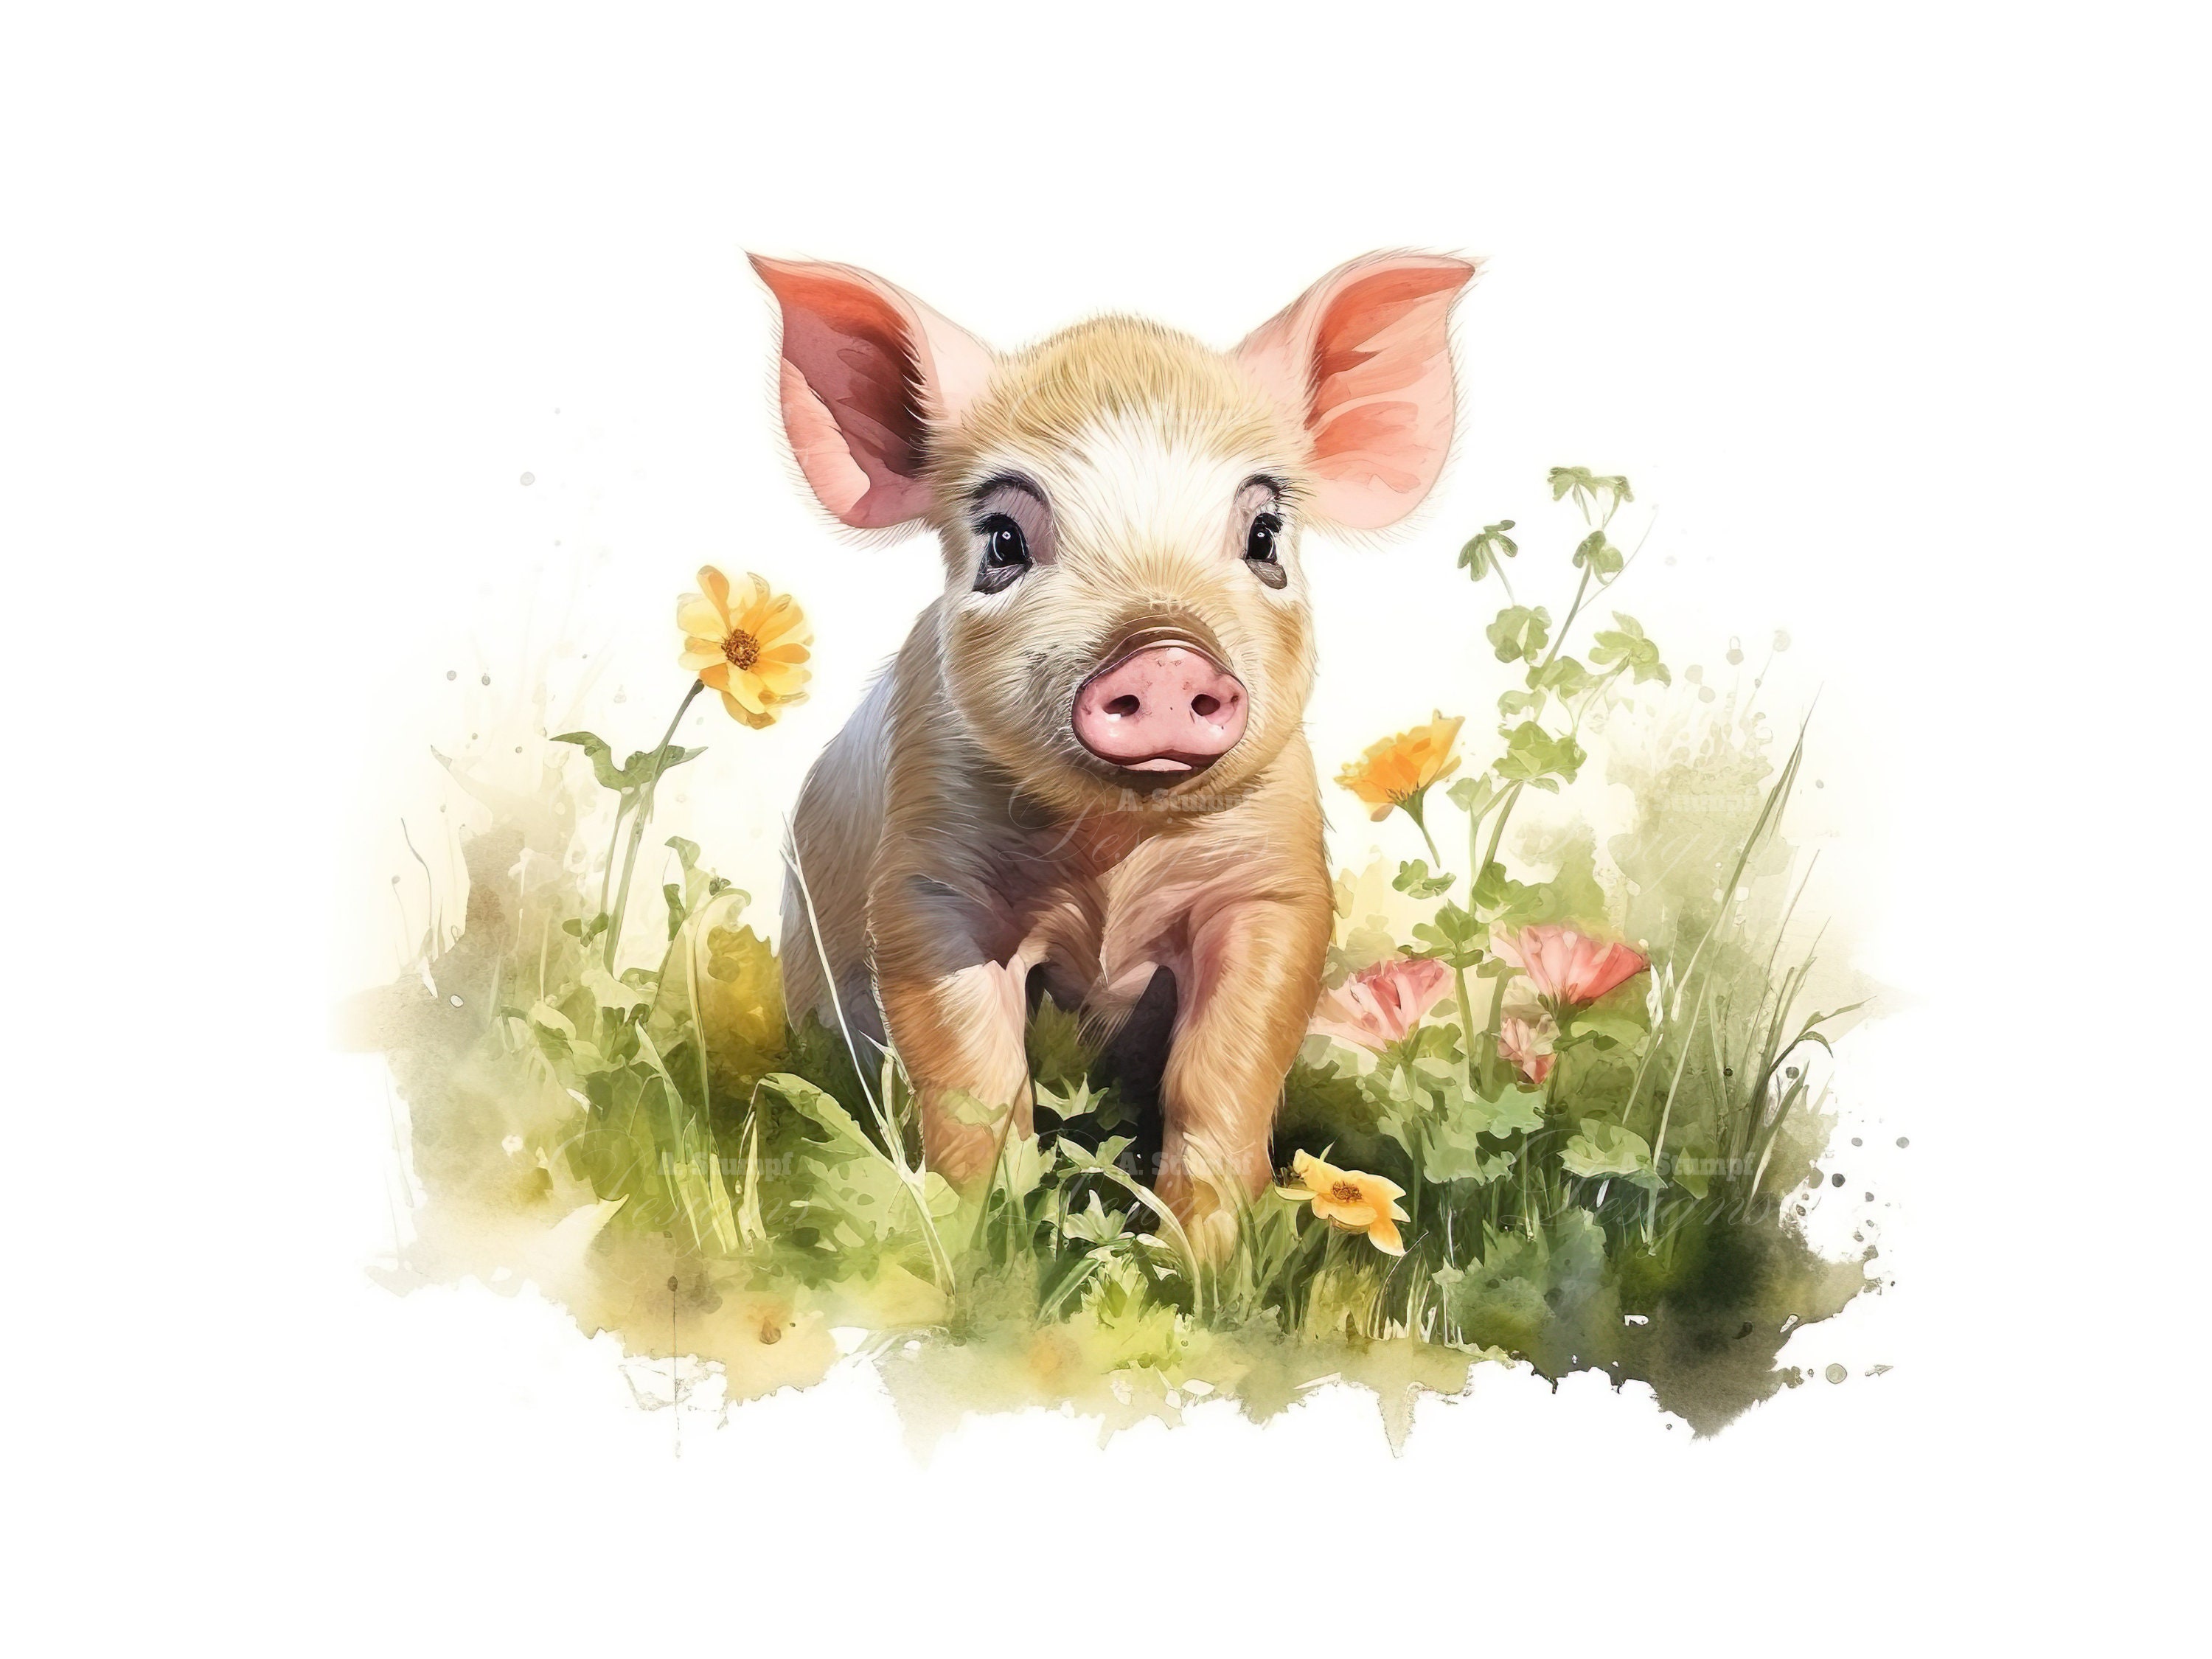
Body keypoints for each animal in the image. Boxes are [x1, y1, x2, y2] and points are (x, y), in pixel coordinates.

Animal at [754, 250, 1477, 1254]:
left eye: (1264, 535)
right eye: (1003, 540)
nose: (1165, 653)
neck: (1114, 853)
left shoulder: (1273, 888)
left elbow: (1218, 1079)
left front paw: (1203, 1264)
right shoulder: (924, 882)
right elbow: (975, 1081)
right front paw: (981, 1250)